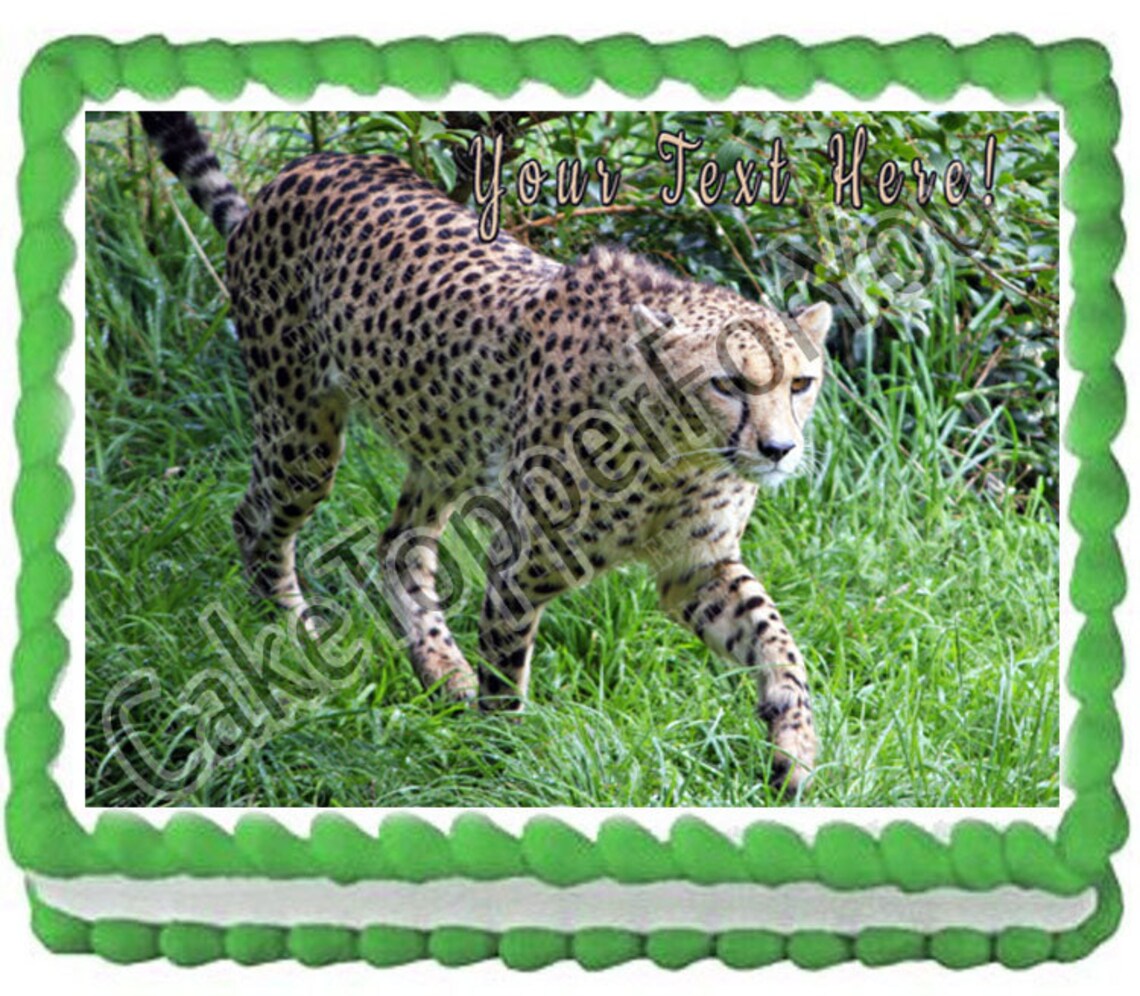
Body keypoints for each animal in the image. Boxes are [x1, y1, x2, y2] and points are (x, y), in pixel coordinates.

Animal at [139, 112, 832, 792]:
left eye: (800, 384)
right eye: (728, 383)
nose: (779, 449)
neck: (680, 459)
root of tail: (295, 174)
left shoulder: (695, 567)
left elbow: (776, 636)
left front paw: (795, 743)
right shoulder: (522, 562)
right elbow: (506, 670)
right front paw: (501, 763)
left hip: (445, 449)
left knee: (398, 547)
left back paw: (441, 668)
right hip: (302, 435)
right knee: (255, 518)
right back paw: (291, 631)